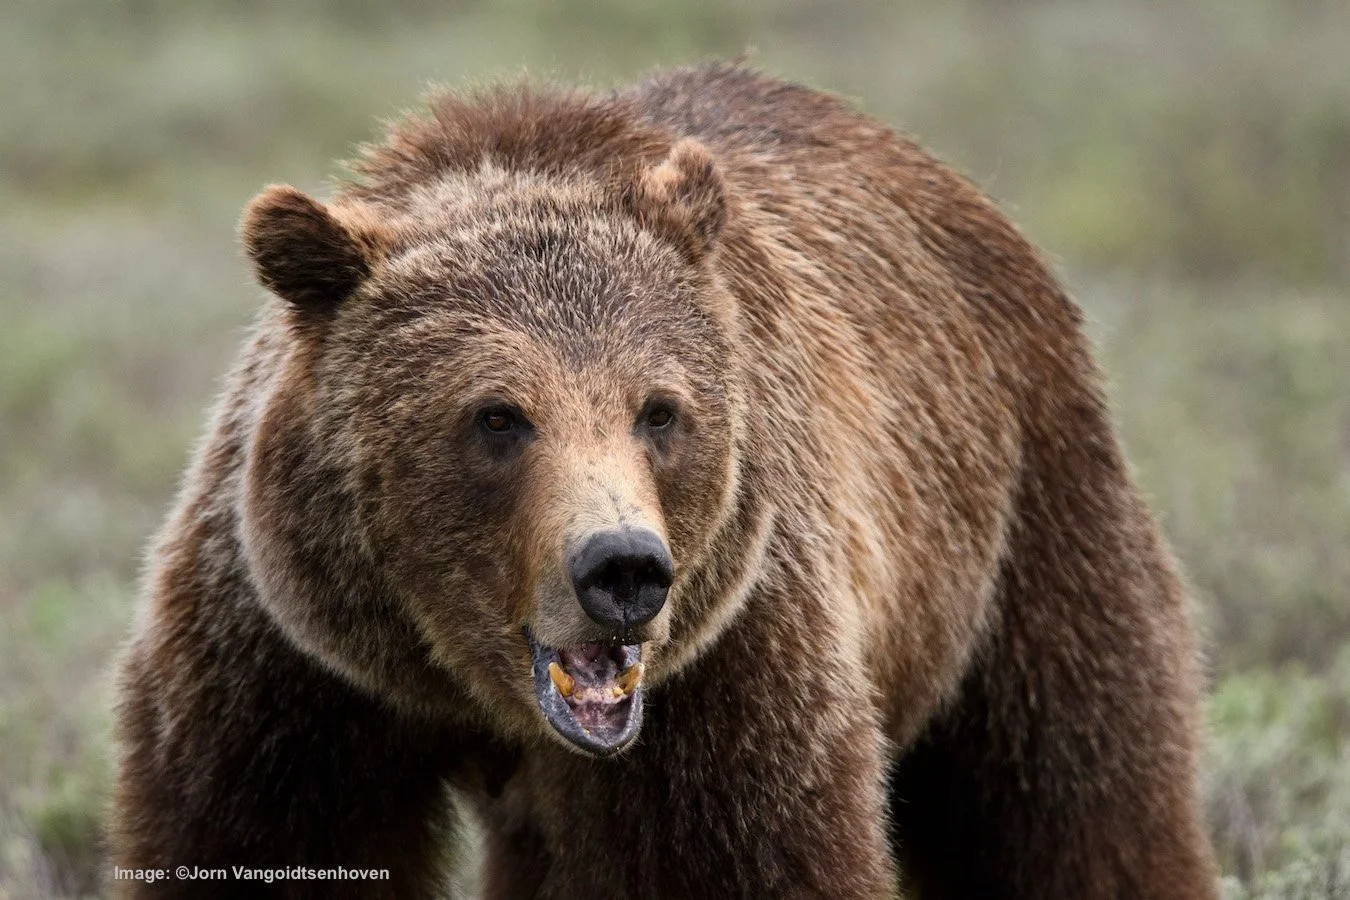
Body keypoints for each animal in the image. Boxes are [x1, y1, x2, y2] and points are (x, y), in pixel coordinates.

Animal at [110, 63, 1219, 899]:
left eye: (659, 410)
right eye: (497, 416)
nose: (623, 569)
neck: (478, 695)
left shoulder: (728, 668)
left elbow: (744, 856)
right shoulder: (293, 667)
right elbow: (260, 836)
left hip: (1024, 519)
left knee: (1071, 783)